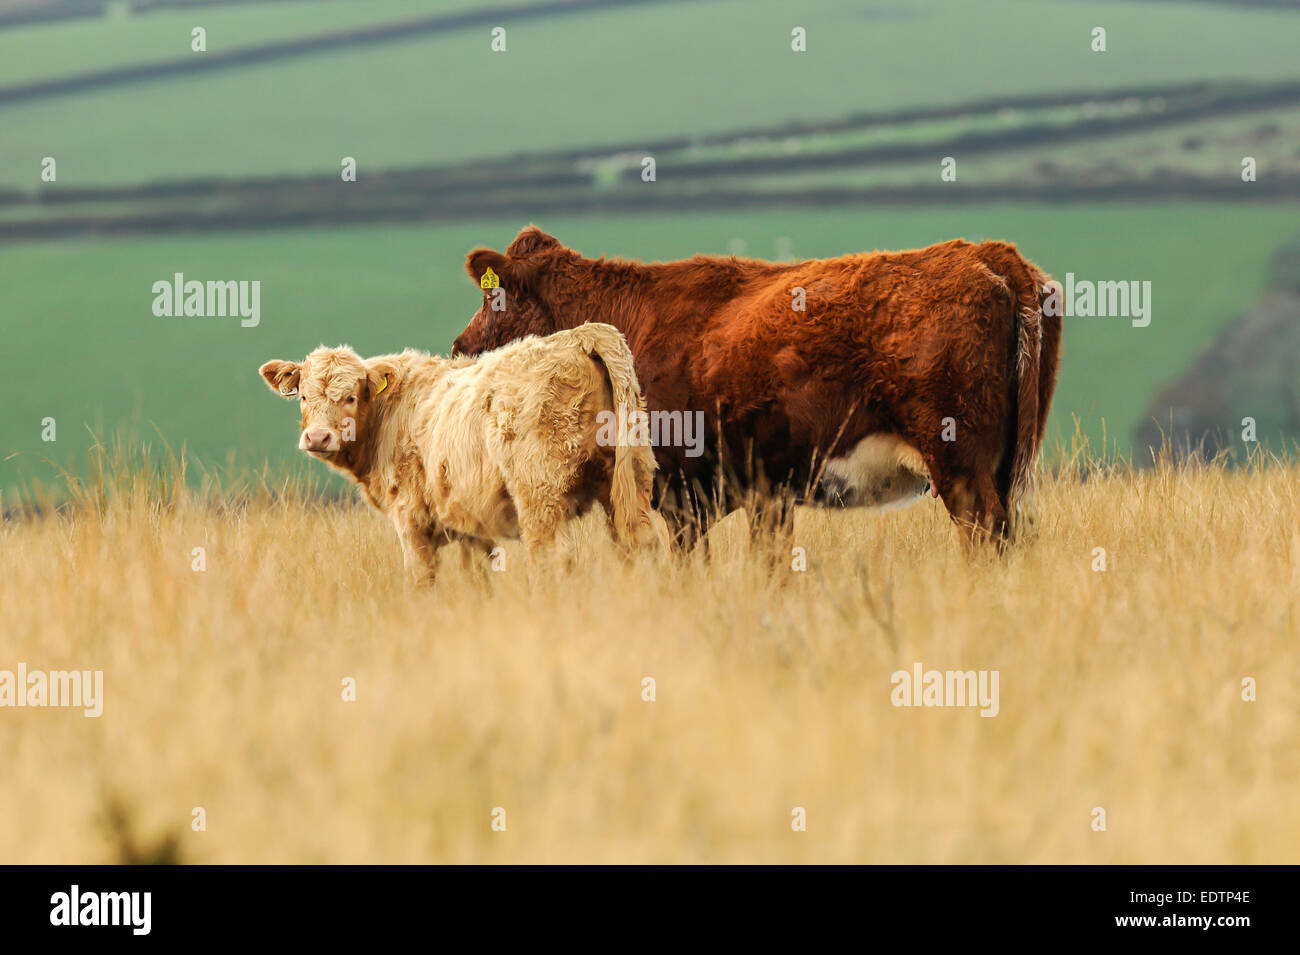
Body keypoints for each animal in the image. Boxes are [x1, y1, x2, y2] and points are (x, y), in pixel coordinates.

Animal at [258, 324, 660, 583]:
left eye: (351, 397)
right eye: (304, 396)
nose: (318, 437)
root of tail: (579, 335)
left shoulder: (410, 519)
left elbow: (421, 578)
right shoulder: (471, 526)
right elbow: (476, 580)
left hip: (539, 493)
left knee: (551, 557)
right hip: (630, 480)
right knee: (637, 545)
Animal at [452, 227, 1062, 546]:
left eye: (494, 296)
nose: (459, 347)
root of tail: (989, 252)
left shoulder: (683, 495)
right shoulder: (768, 494)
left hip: (961, 463)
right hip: (1007, 465)